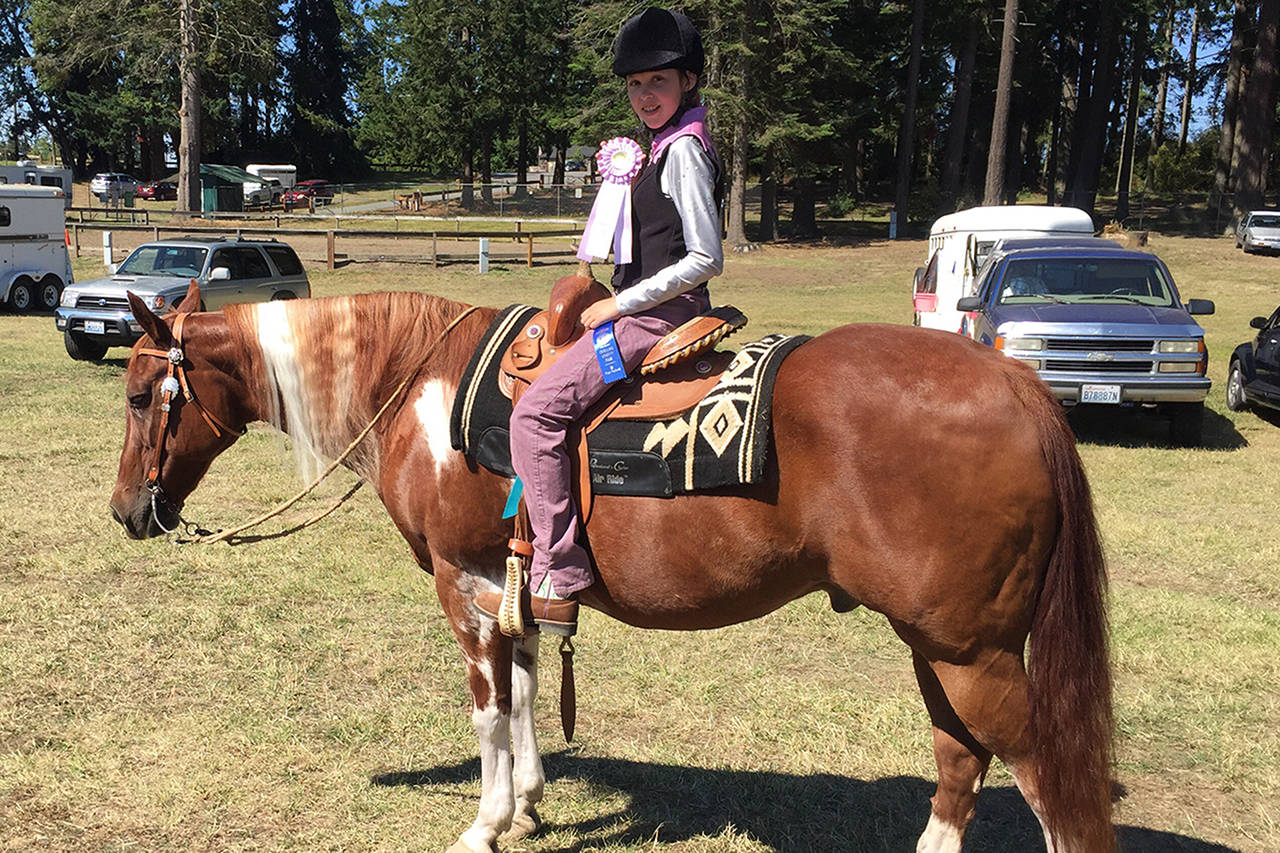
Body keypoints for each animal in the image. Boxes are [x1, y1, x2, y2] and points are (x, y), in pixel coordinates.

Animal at [109, 280, 1114, 853]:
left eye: (141, 393)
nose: (126, 511)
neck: (417, 383)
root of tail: (1016, 382)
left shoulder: (460, 583)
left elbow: (488, 709)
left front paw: (484, 823)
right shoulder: (509, 582)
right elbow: (522, 692)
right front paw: (526, 805)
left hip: (973, 654)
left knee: (1046, 784)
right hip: (938, 645)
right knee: (959, 760)